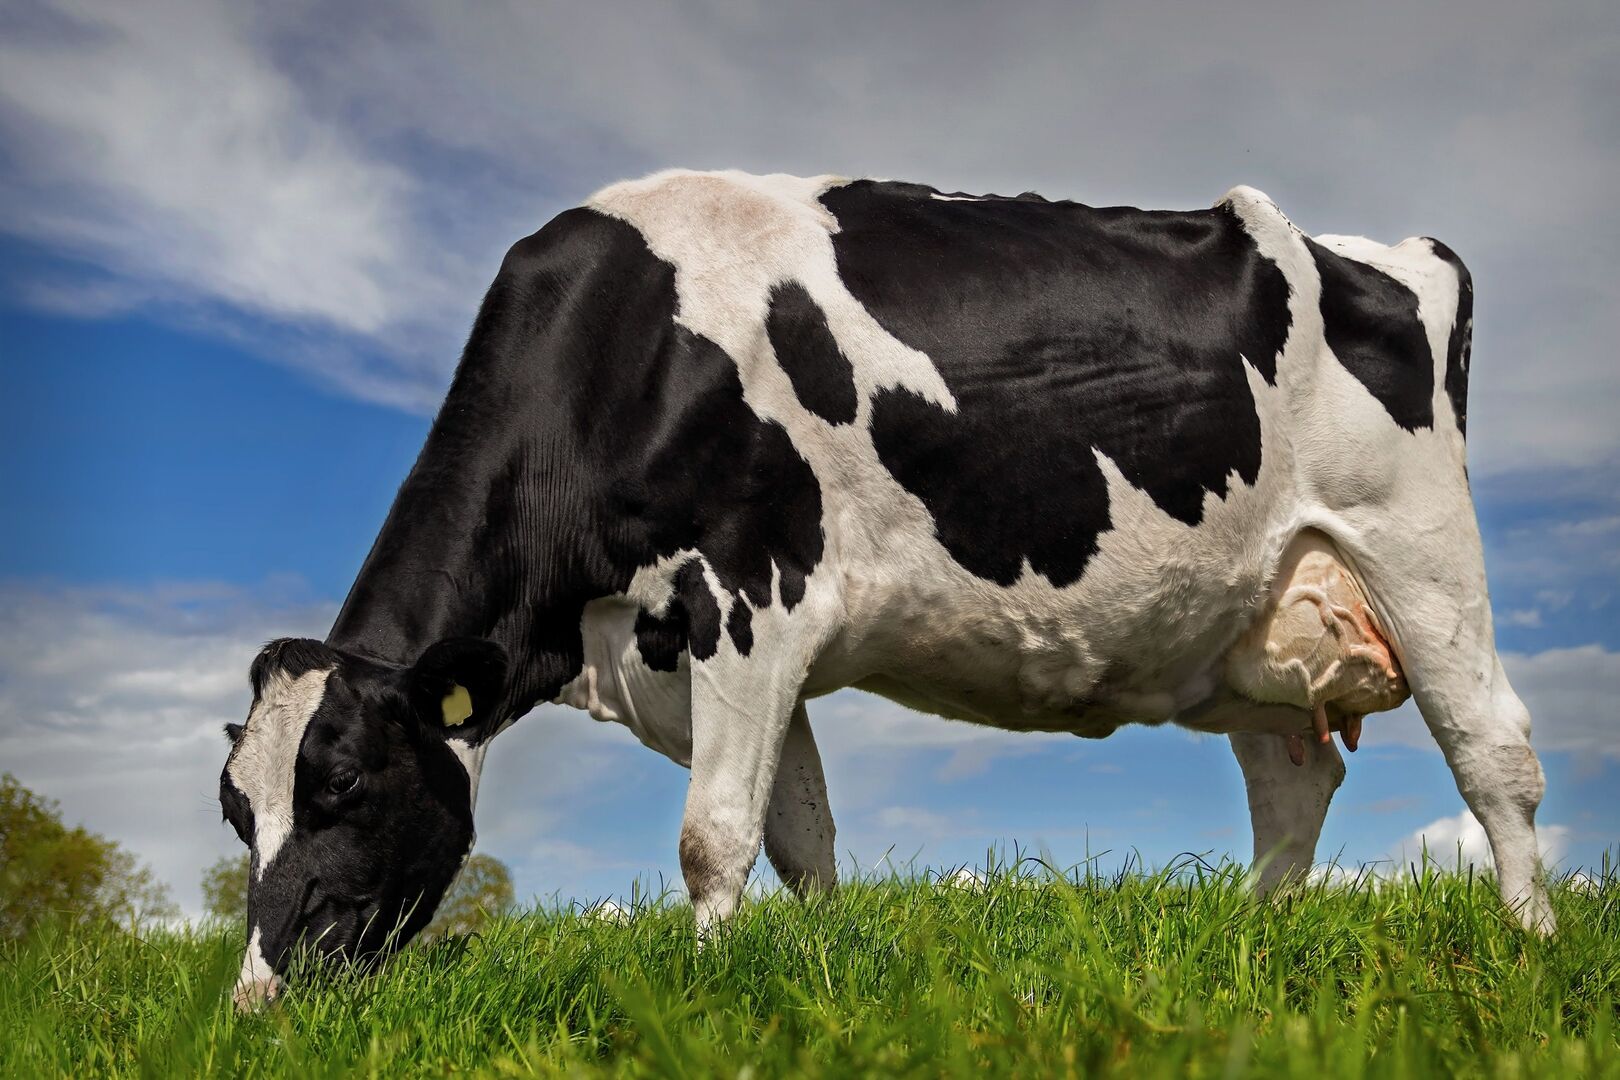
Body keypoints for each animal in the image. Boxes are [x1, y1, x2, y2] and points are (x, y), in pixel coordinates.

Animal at [221, 169, 1553, 1009]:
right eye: (238, 813)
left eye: (344, 784)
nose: (258, 998)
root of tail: (1394, 251)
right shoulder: (707, 647)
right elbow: (797, 835)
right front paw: (805, 976)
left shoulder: (747, 591)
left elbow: (713, 836)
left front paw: (706, 990)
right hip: (1252, 621)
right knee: (1295, 781)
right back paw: (1249, 948)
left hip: (1416, 545)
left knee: (1493, 747)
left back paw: (1531, 946)